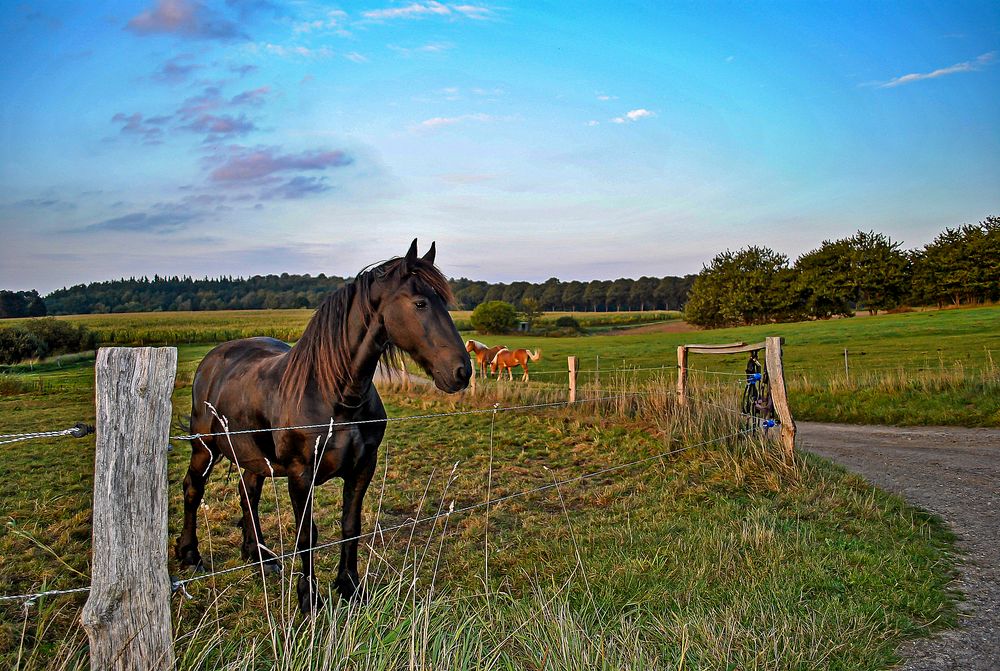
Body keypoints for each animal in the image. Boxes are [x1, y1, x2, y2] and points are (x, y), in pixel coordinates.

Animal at [176, 239, 471, 614]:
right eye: (420, 303)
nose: (462, 371)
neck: (336, 394)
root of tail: (211, 360)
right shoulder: (301, 475)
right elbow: (307, 536)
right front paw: (309, 598)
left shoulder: (362, 468)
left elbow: (350, 525)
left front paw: (350, 587)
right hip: (205, 448)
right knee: (193, 490)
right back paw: (190, 556)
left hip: (255, 458)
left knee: (248, 495)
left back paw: (259, 557)